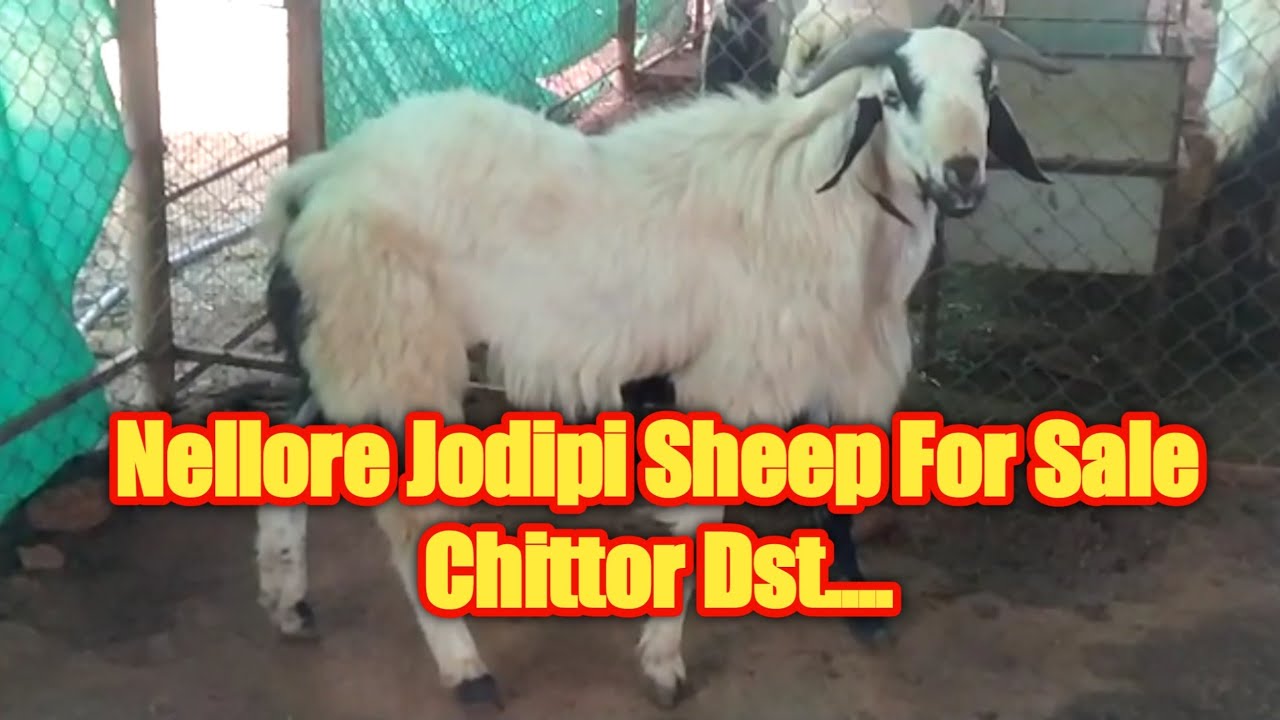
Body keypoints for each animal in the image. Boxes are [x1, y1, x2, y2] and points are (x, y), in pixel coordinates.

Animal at [255, 20, 1072, 710]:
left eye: (988, 87)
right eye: (898, 95)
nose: (963, 176)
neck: (823, 210)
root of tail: (321, 174)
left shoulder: (830, 370)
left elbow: (834, 499)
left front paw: (856, 608)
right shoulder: (737, 379)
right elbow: (699, 525)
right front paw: (662, 662)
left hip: (351, 346)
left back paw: (288, 601)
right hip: (394, 348)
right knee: (407, 519)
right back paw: (467, 671)